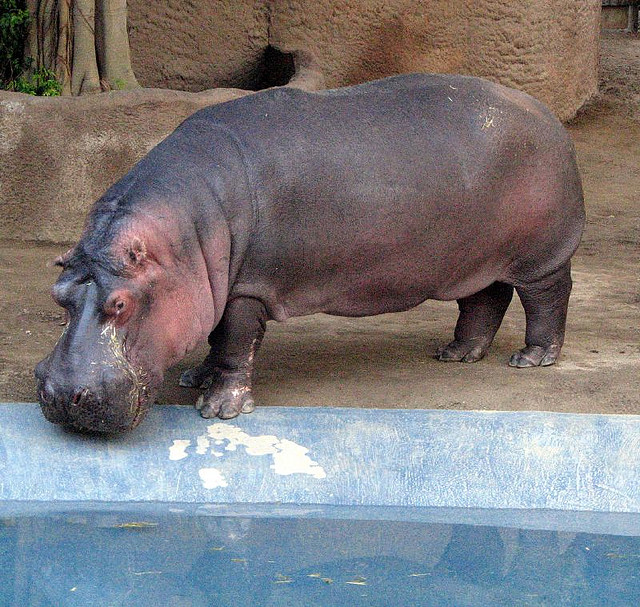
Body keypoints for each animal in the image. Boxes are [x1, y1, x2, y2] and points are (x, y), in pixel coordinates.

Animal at [35, 73, 585, 433]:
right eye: (58, 295)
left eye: (121, 304)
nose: (61, 396)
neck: (182, 237)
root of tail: (546, 114)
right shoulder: (218, 282)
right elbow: (213, 338)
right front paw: (195, 377)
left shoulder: (247, 287)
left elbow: (234, 343)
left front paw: (218, 409)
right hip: (476, 258)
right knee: (485, 298)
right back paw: (456, 354)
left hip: (541, 255)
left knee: (548, 298)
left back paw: (531, 359)